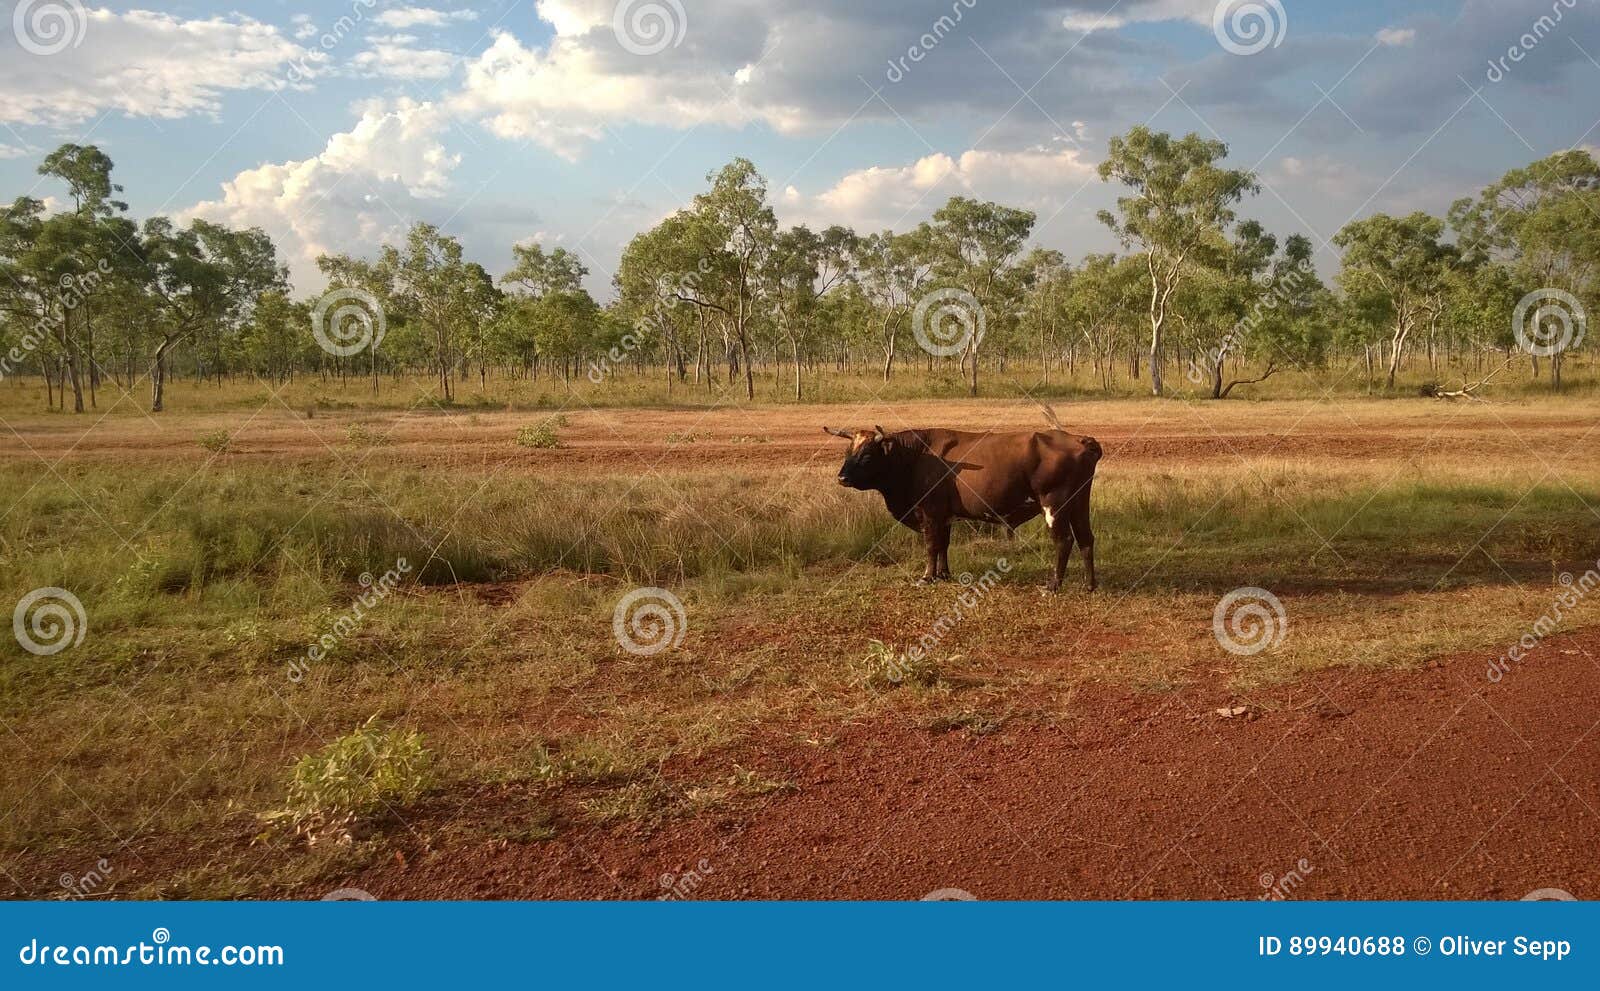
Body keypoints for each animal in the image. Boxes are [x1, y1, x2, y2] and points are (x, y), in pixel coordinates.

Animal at [824, 407, 1101, 592]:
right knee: (1086, 538)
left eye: (867, 455)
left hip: (1054, 504)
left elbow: (931, 545)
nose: (842, 478)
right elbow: (943, 544)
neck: (916, 456)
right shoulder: (944, 515)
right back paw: (1089, 585)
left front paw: (927, 577)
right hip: (1079, 503)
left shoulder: (930, 513)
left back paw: (1053, 586)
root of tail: (1078, 439)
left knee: (1064, 541)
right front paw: (944, 574)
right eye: (848, 452)